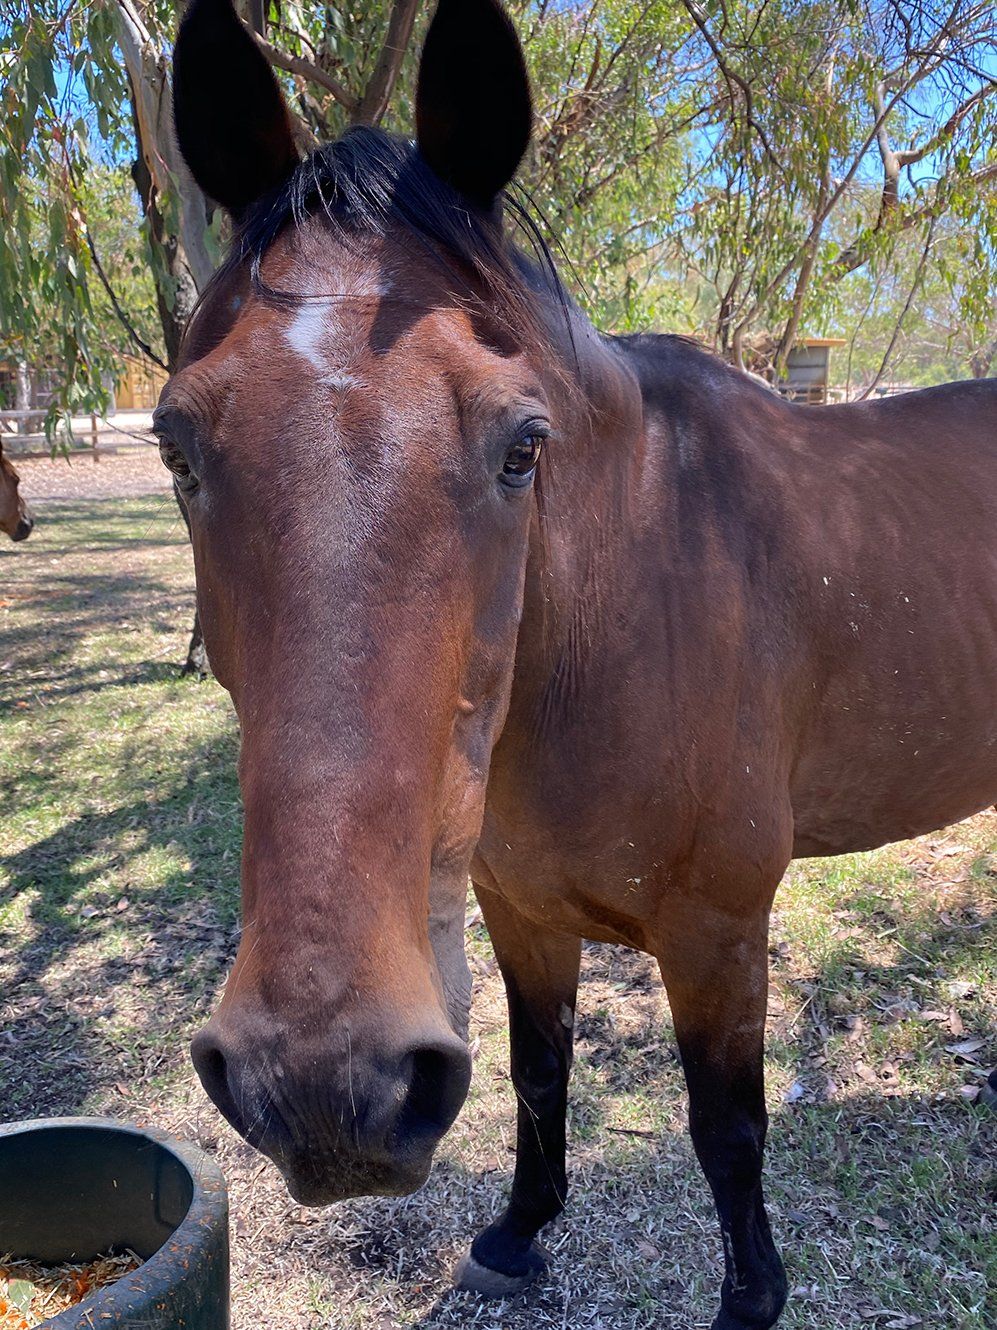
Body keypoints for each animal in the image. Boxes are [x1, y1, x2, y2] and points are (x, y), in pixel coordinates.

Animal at [162, 2, 997, 1326]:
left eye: (521, 446)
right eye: (176, 444)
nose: (322, 1085)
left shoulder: (719, 932)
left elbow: (726, 1128)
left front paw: (749, 1296)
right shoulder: (520, 914)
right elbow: (538, 1072)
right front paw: (518, 1229)